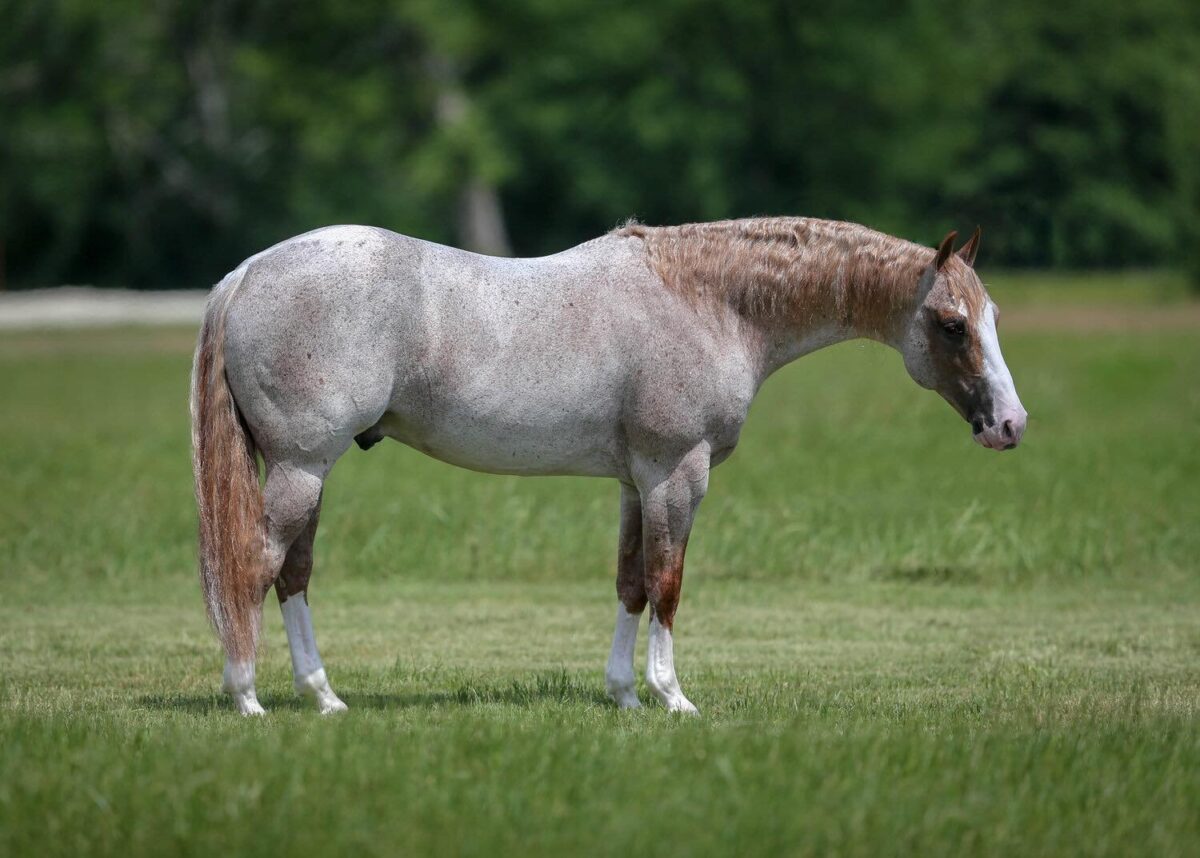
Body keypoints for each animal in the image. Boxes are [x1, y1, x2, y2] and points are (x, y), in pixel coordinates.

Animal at [190, 217, 1027, 716]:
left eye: (989, 317)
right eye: (951, 324)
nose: (1010, 426)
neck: (707, 300)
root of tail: (248, 272)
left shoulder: (636, 482)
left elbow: (630, 583)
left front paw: (624, 696)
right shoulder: (677, 474)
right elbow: (668, 584)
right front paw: (673, 697)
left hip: (309, 472)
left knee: (291, 576)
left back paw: (324, 698)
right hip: (301, 467)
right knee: (254, 566)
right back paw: (248, 698)